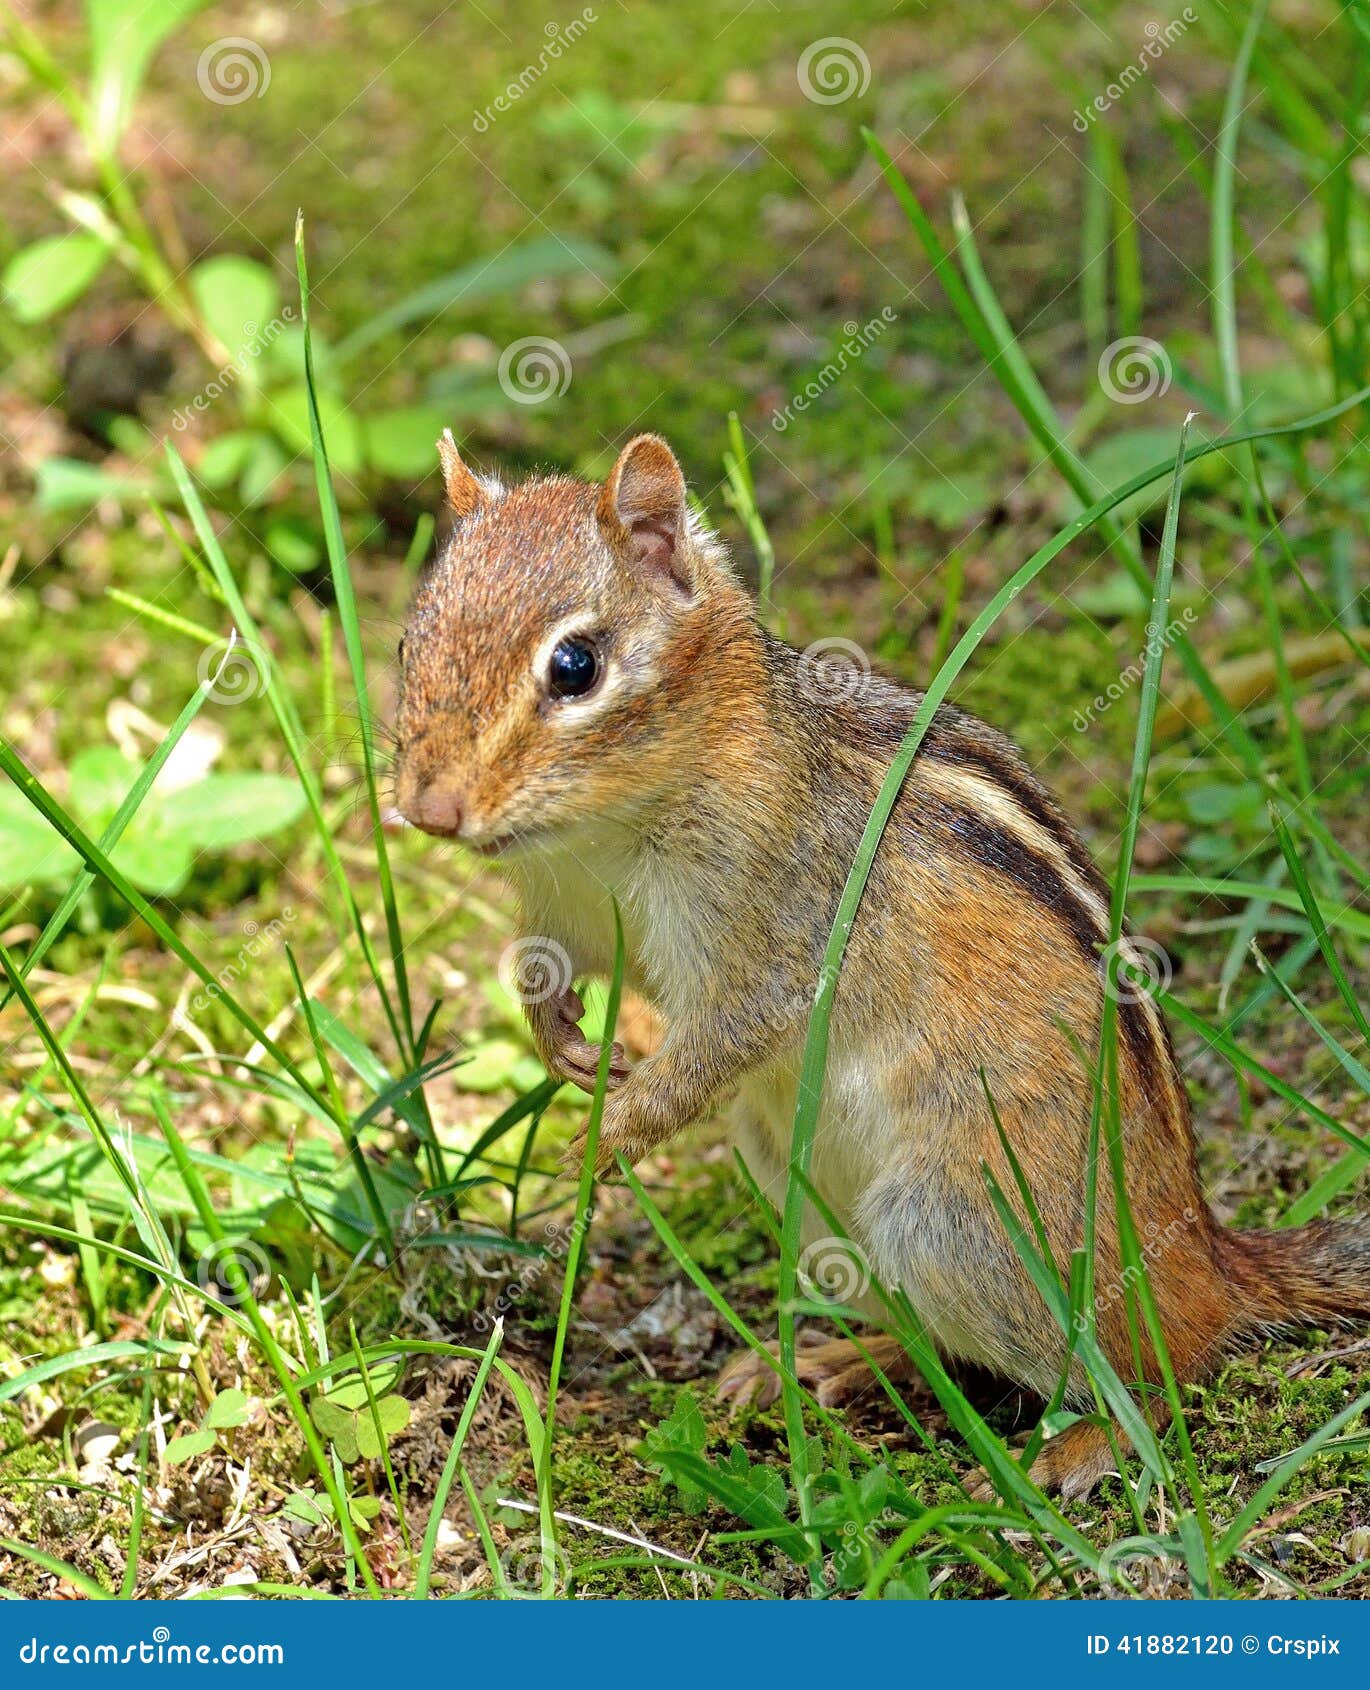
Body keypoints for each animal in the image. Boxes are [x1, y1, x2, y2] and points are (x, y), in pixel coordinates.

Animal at [393, 430, 1370, 1498]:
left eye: (575, 666)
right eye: (409, 639)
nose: (427, 810)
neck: (602, 828)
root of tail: (1206, 1250)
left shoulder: (775, 937)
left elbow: (722, 1041)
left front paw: (603, 1139)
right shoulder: (565, 907)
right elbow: (539, 965)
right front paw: (559, 1039)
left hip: (958, 1222)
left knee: (1161, 1373)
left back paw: (1077, 1447)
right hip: (798, 1178)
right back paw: (837, 1360)